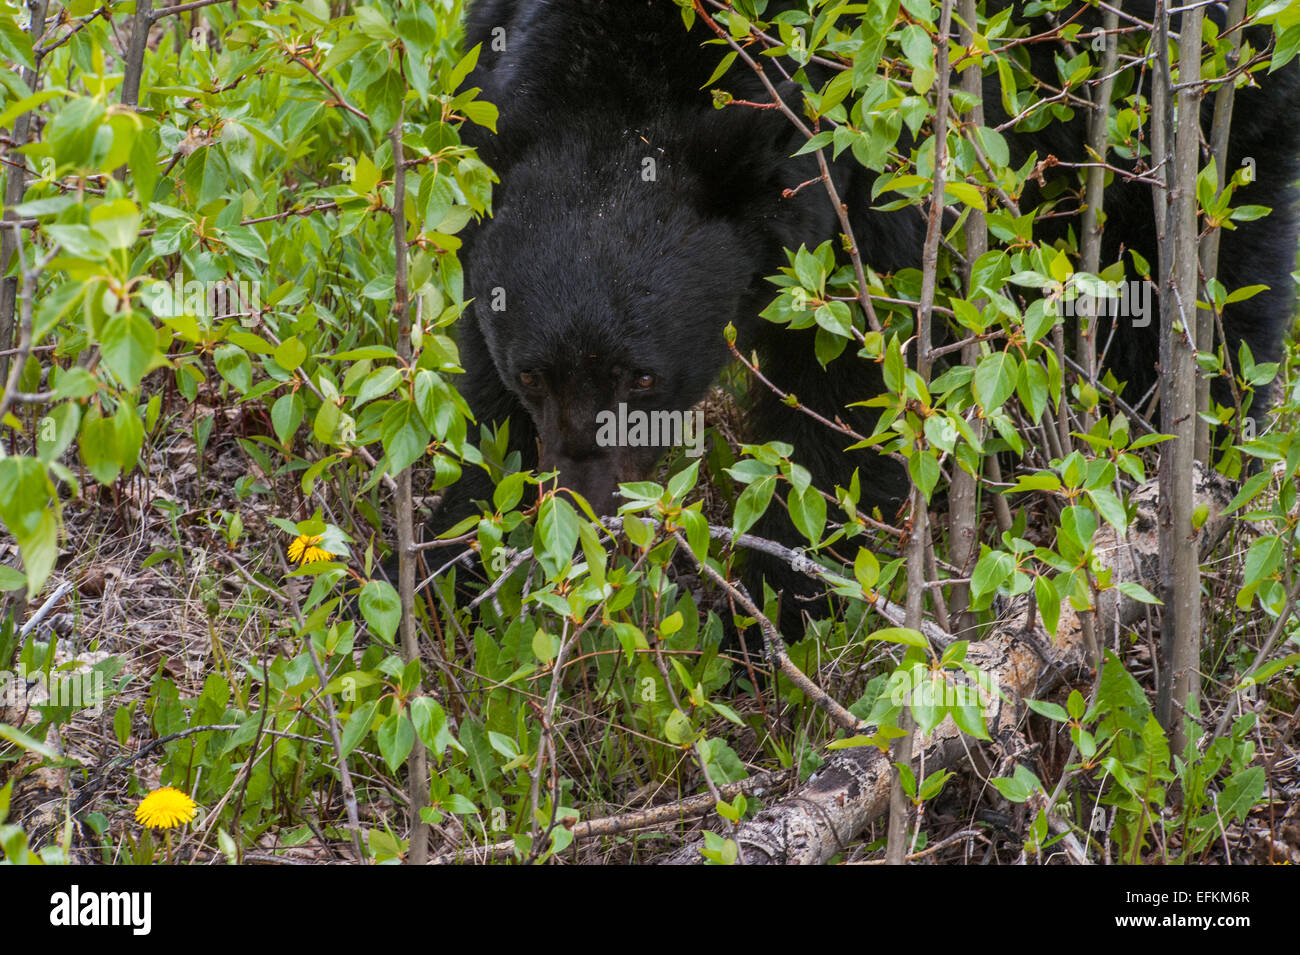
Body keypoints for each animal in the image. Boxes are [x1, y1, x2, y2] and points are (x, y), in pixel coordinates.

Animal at [433, 0, 1300, 629]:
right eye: (532, 373)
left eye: (643, 376)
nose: (584, 510)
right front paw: (459, 567)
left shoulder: (883, 151)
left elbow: (854, 393)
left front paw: (780, 614)